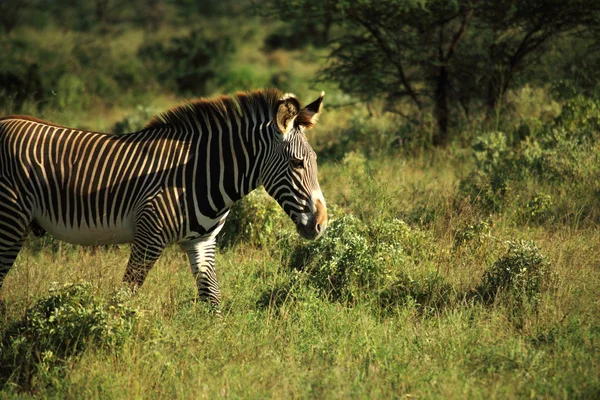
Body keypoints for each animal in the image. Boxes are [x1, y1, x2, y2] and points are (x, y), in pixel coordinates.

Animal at [0, 89, 328, 310]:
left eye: (315, 160)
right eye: (297, 163)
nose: (322, 224)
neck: (196, 172)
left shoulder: (202, 241)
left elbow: (213, 299)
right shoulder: (149, 235)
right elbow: (125, 295)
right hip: (10, 219)